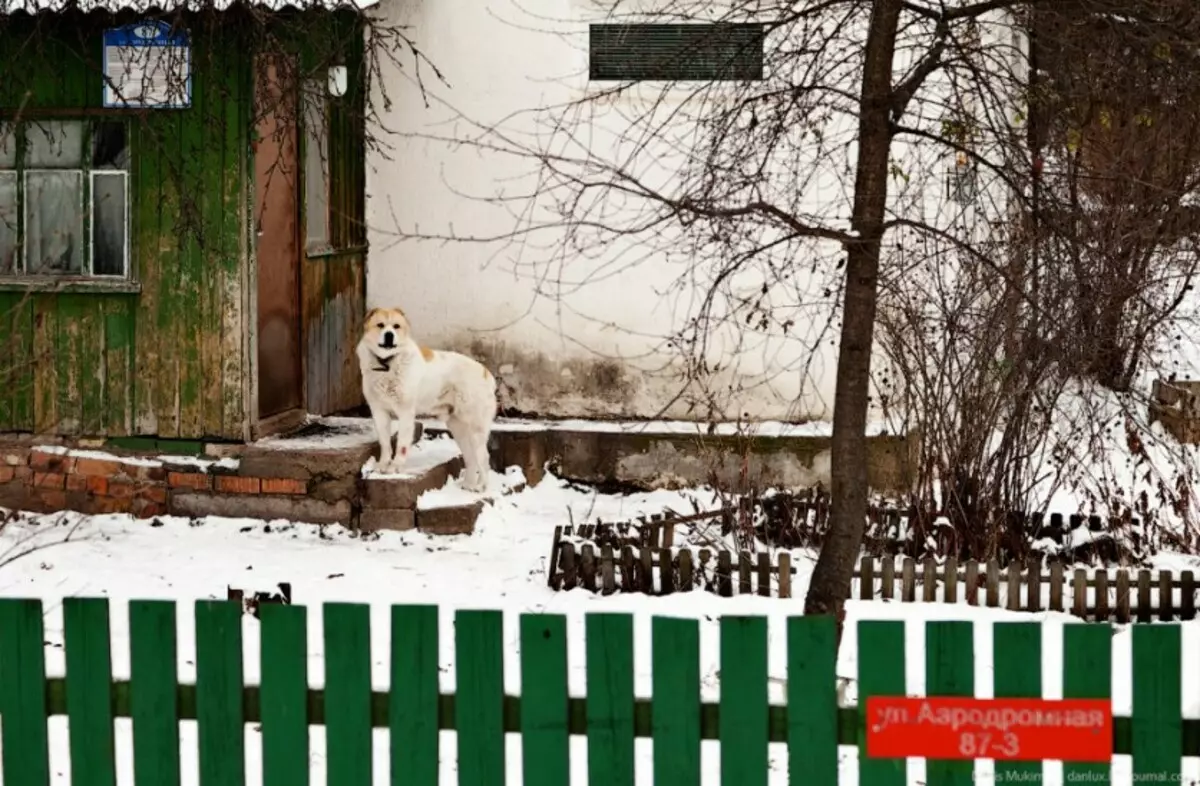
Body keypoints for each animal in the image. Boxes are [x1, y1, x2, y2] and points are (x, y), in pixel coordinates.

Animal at [360, 307, 501, 492]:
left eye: (396, 326)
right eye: (380, 325)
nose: (389, 335)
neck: (387, 363)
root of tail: (486, 373)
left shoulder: (405, 413)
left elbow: (401, 444)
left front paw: (395, 468)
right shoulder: (378, 411)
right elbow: (385, 443)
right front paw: (383, 465)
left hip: (475, 428)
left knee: (483, 458)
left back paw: (480, 487)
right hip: (459, 428)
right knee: (470, 458)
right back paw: (467, 485)